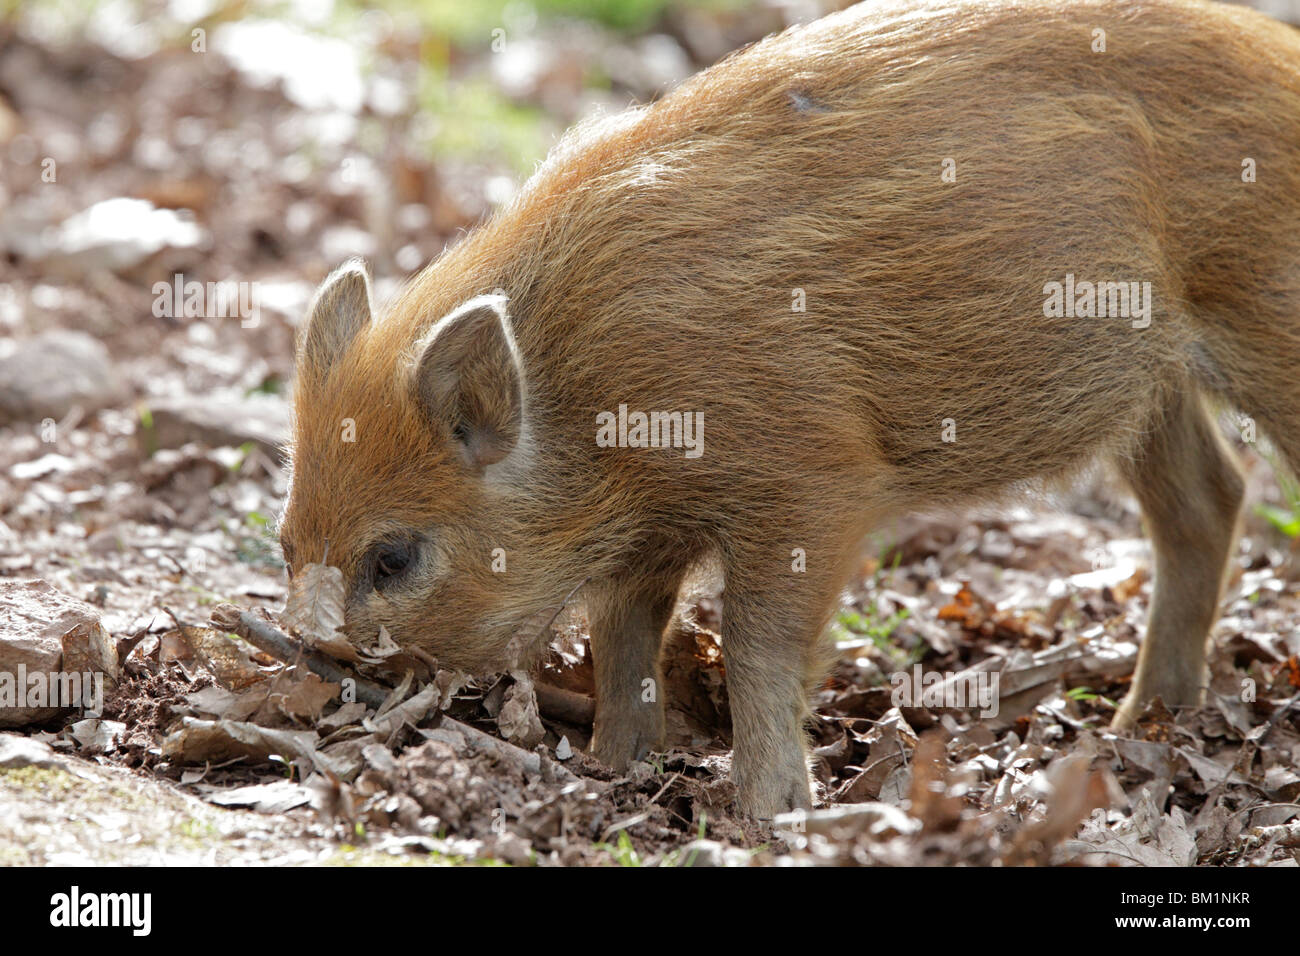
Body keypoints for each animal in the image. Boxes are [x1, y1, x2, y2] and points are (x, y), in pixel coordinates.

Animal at [278, 0, 1300, 817]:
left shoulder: (814, 479)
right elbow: (623, 631)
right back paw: (1144, 722)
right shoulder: (647, 529)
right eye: (286, 544)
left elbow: (752, 641)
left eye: (394, 556)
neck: (587, 397)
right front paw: (617, 769)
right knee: (1208, 500)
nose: (310, 662)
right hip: (1151, 386)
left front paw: (773, 813)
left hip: (1264, 320)